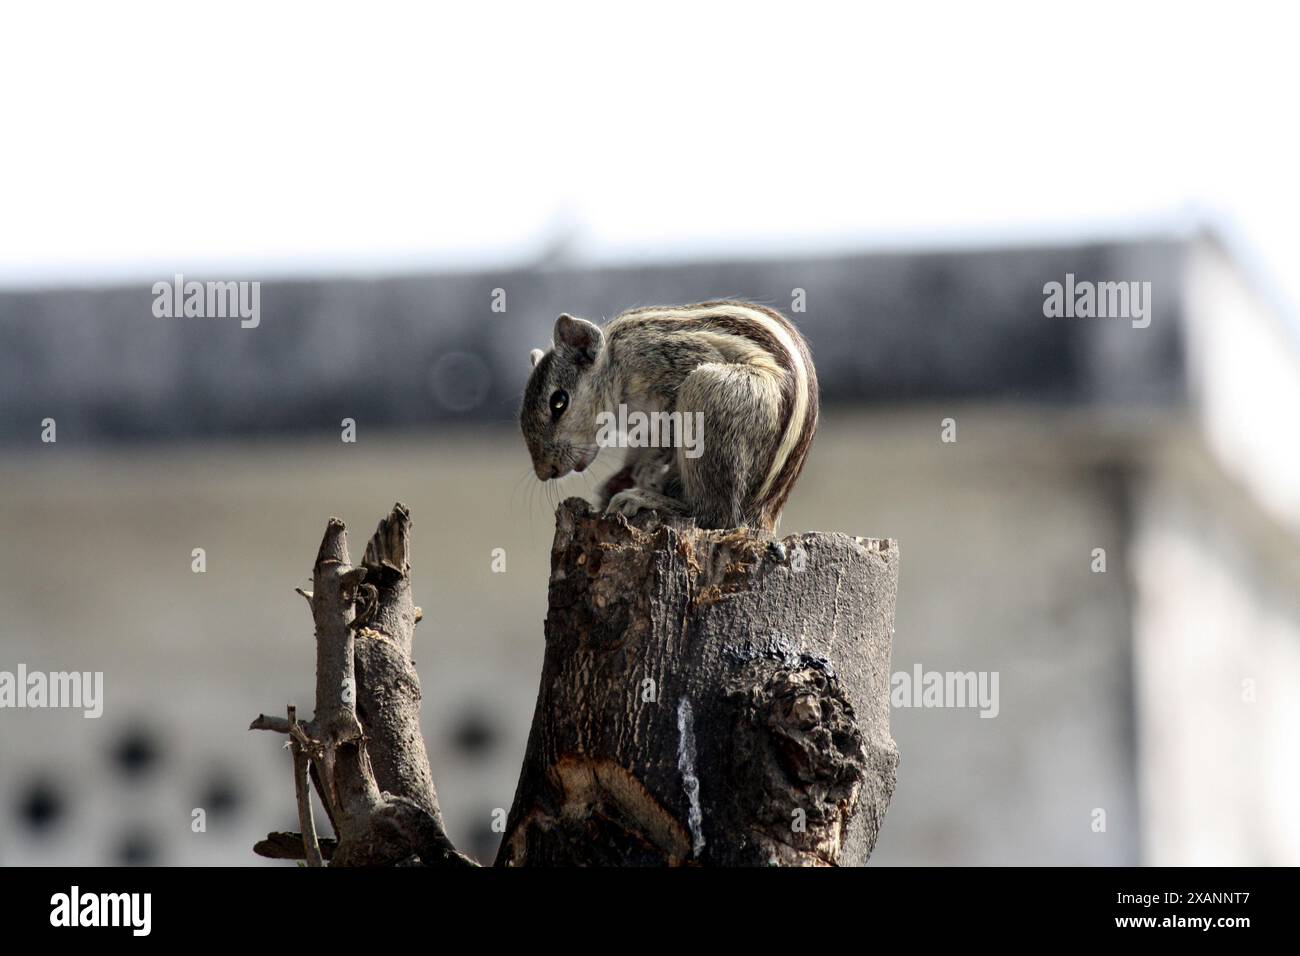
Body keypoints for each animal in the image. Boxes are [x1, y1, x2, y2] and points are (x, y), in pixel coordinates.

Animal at [519, 299, 819, 531]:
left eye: (559, 402)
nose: (545, 472)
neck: (616, 359)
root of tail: (765, 513)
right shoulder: (642, 429)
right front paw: (620, 478)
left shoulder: (673, 360)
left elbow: (670, 431)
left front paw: (649, 467)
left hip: (709, 393)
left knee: (716, 517)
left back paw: (645, 499)